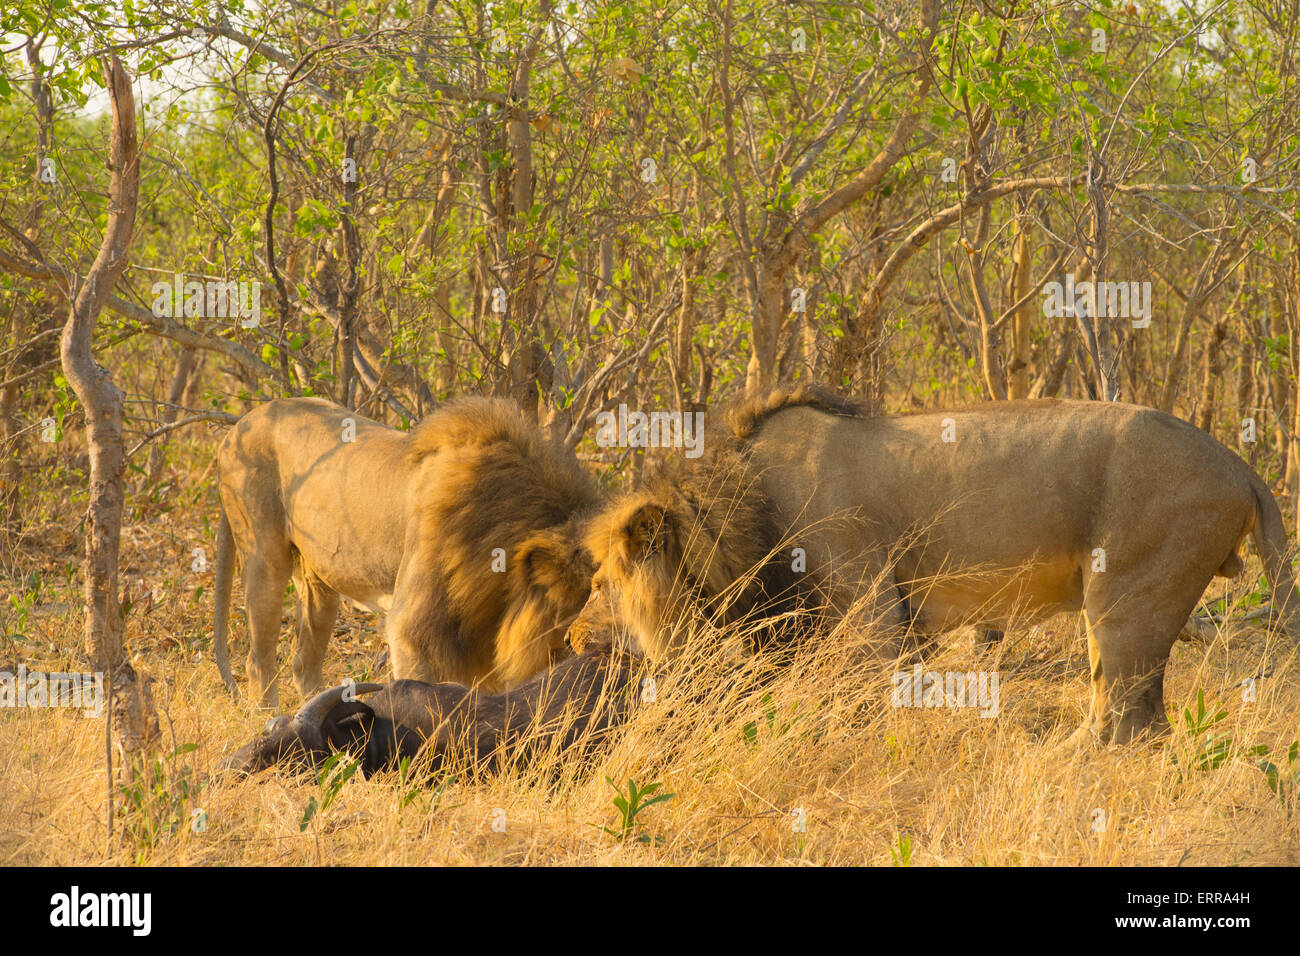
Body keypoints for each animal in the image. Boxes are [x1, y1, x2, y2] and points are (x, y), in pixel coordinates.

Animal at [214, 396, 598, 708]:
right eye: (572, 639)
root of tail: (238, 426)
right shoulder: (411, 629)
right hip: (263, 556)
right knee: (259, 661)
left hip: (319, 580)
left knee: (303, 662)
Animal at [568, 385, 1300, 744]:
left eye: (600, 582)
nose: (571, 636)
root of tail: (1241, 467)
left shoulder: (870, 613)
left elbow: (857, 706)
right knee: (1137, 719)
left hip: (1128, 595)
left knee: (1125, 720)